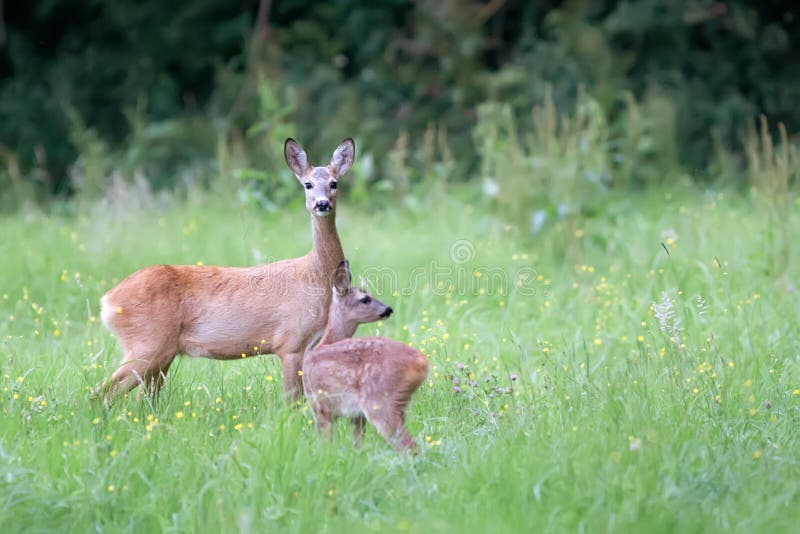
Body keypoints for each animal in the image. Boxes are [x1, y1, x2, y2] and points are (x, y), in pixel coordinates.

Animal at [99, 138, 353, 402]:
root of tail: (107, 301)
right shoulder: (290, 342)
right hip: (146, 345)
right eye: (308, 184)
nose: (322, 204)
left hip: (160, 354)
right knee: (100, 393)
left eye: (334, 183)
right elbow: (293, 400)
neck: (315, 275)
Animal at [303, 260, 429, 453]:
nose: (388, 309)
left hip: (380, 400)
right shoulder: (356, 415)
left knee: (409, 447)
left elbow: (325, 444)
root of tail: (422, 362)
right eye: (365, 299)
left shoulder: (319, 406)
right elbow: (358, 445)